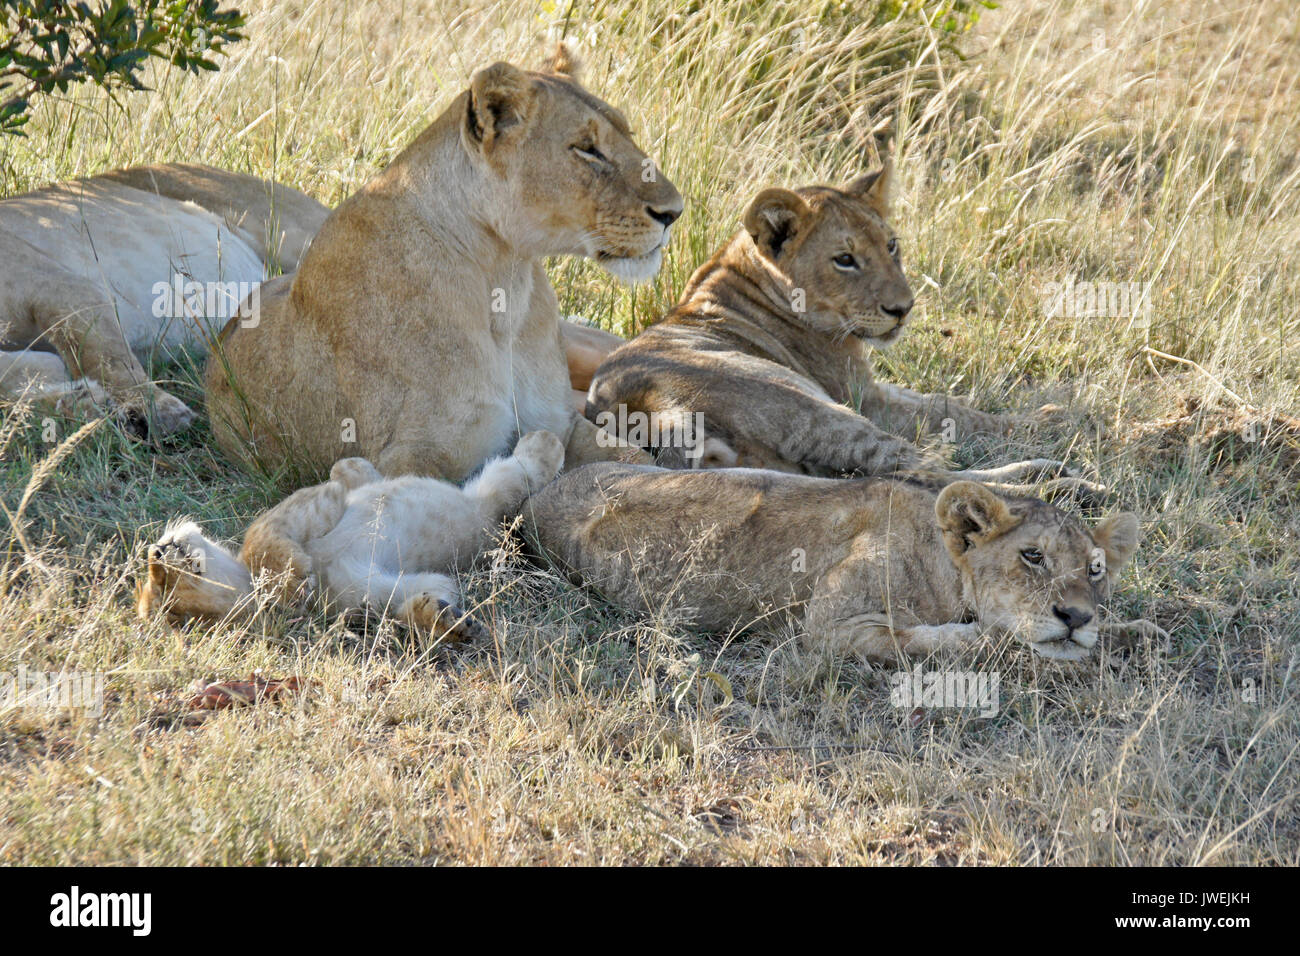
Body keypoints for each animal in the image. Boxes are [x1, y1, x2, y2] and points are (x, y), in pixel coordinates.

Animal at [137, 429, 565, 640]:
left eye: (153, 581)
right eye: (162, 590)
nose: (155, 553)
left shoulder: (304, 508)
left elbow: (264, 532)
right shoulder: (356, 595)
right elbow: (412, 599)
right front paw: (445, 620)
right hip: (495, 493)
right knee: (523, 469)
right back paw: (545, 440)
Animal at [205, 47, 682, 486]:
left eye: (627, 133)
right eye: (587, 149)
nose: (674, 212)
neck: (503, 275)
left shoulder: (559, 421)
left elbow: (637, 462)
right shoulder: (409, 456)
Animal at [525, 463, 1166, 663]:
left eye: (1095, 570)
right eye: (1032, 557)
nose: (1075, 617)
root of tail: (539, 495)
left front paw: (1133, 631)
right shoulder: (831, 628)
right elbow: (948, 640)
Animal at [584, 161, 1080, 493]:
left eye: (891, 246)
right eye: (844, 259)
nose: (903, 308)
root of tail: (653, 411)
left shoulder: (869, 387)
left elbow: (944, 400)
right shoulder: (864, 397)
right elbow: (956, 413)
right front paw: (1055, 419)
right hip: (822, 410)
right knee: (927, 476)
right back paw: (1059, 484)